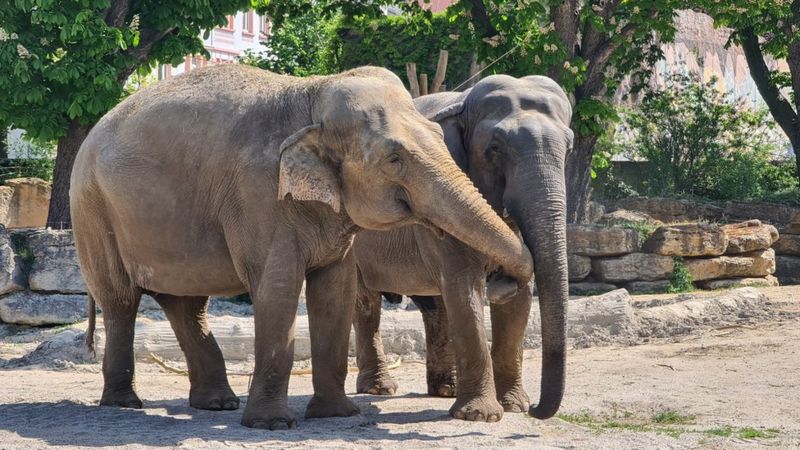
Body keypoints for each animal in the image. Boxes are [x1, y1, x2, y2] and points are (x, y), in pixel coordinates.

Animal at [70, 65, 534, 430]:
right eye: (394, 159)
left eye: (441, 136)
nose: (503, 278)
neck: (311, 95)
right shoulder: (257, 194)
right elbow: (278, 287)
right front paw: (273, 425)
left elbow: (335, 290)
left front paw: (335, 415)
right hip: (92, 211)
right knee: (122, 300)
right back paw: (125, 403)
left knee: (185, 303)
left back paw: (217, 403)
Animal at [352, 74, 572, 421]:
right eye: (495, 148)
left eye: (570, 147)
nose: (537, 409)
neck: (463, 104)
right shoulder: (440, 202)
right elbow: (465, 288)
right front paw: (481, 416)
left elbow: (520, 297)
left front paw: (514, 406)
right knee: (365, 302)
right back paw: (380, 388)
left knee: (435, 306)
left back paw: (446, 389)